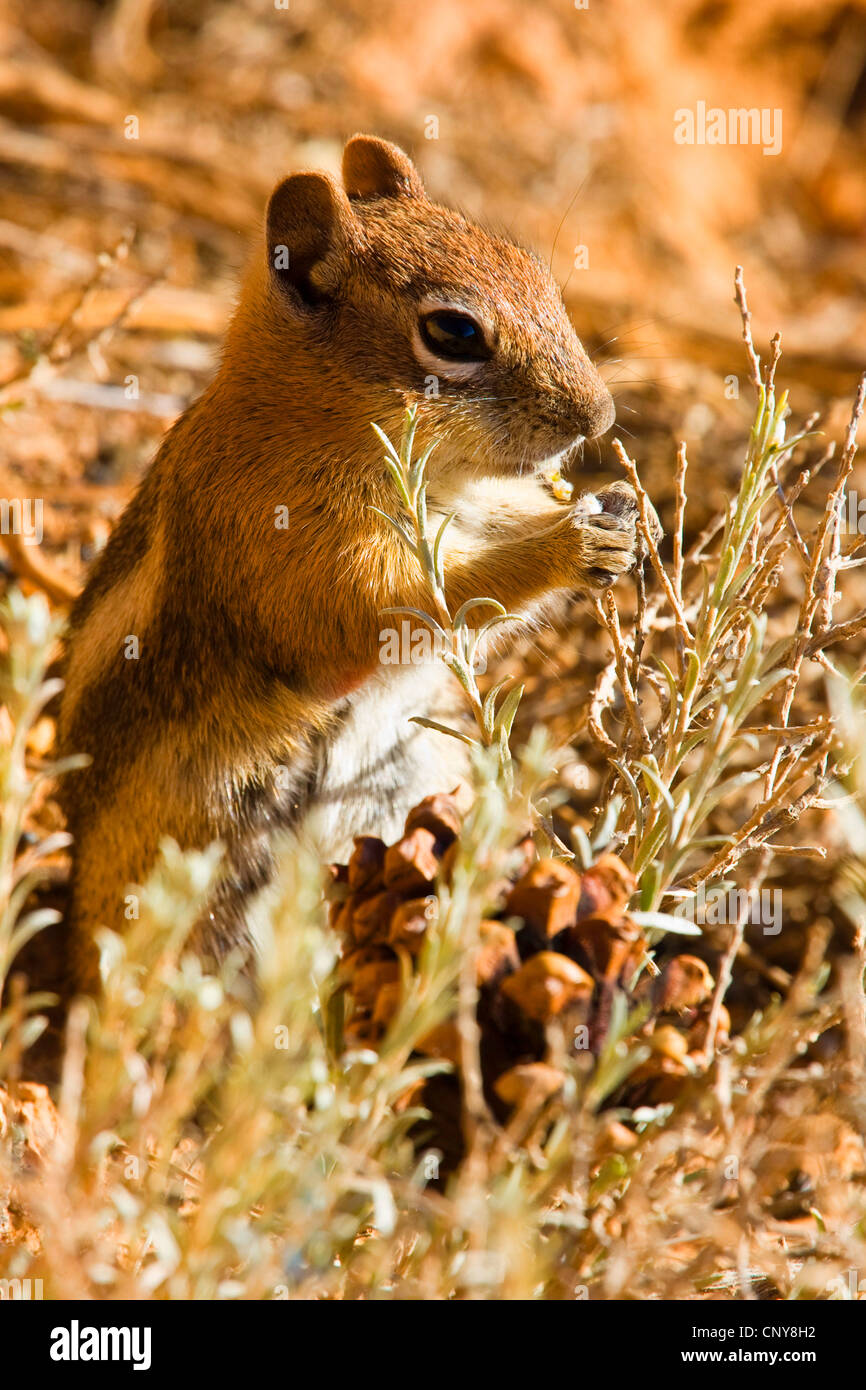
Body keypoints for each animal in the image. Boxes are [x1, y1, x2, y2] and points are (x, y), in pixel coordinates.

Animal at [58, 134, 654, 994]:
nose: (600, 417)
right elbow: (389, 611)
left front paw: (620, 515)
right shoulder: (293, 551)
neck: (311, 414)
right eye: (455, 333)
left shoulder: (470, 509)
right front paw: (567, 546)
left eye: (539, 276)